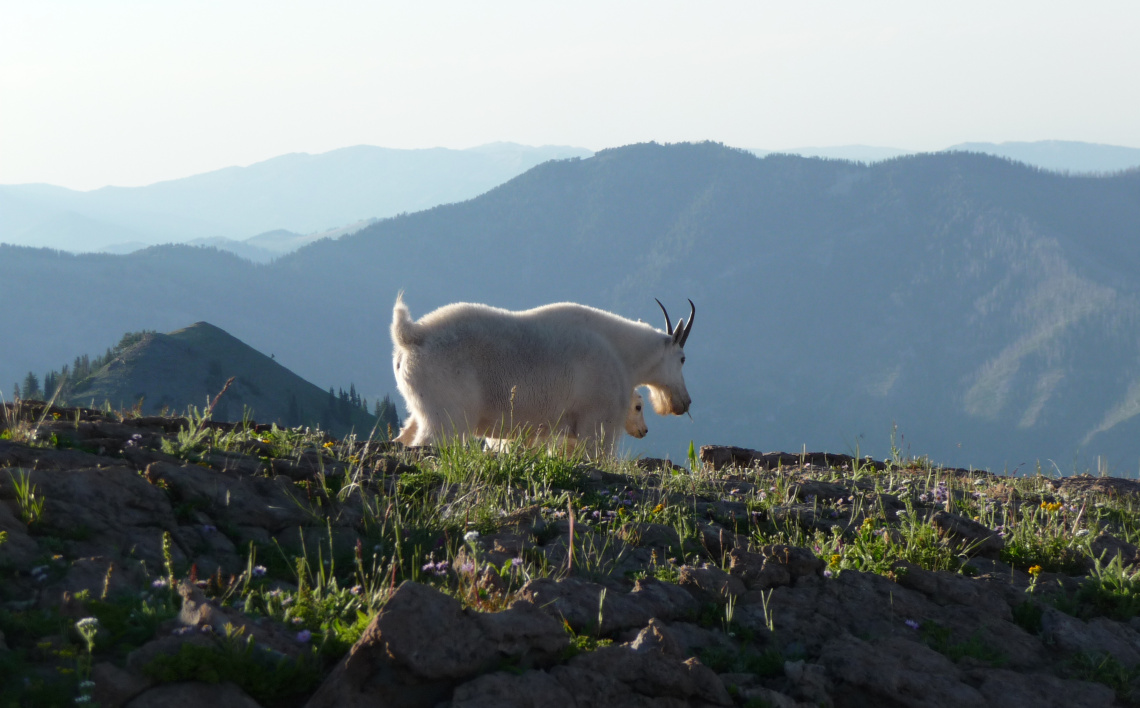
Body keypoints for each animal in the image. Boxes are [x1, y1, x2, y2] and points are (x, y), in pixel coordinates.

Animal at [390, 294, 694, 455]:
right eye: (682, 358)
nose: (685, 402)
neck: (623, 354)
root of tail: (412, 337)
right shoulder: (598, 422)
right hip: (448, 413)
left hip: (422, 407)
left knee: (405, 436)